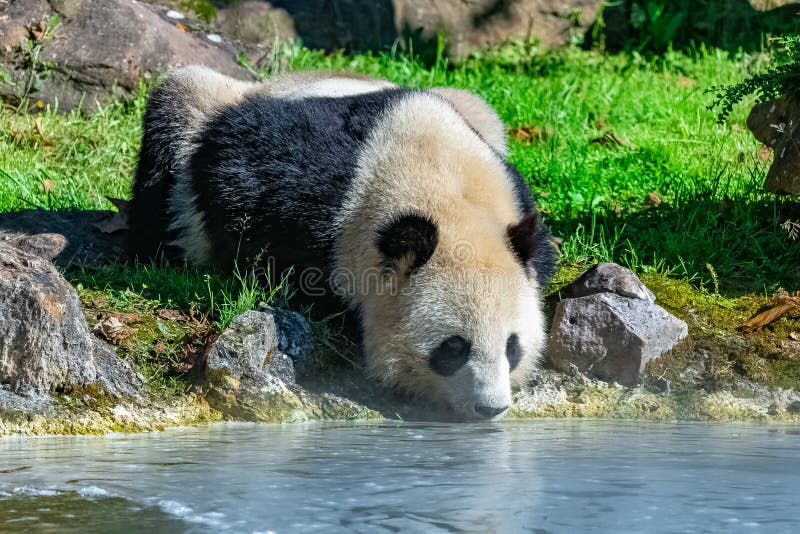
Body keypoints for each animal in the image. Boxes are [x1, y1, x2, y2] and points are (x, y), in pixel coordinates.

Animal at [128, 66, 557, 421]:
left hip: (477, 108)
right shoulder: (294, 186)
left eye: (512, 347)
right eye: (454, 348)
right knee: (173, 119)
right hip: (203, 110)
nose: (491, 408)